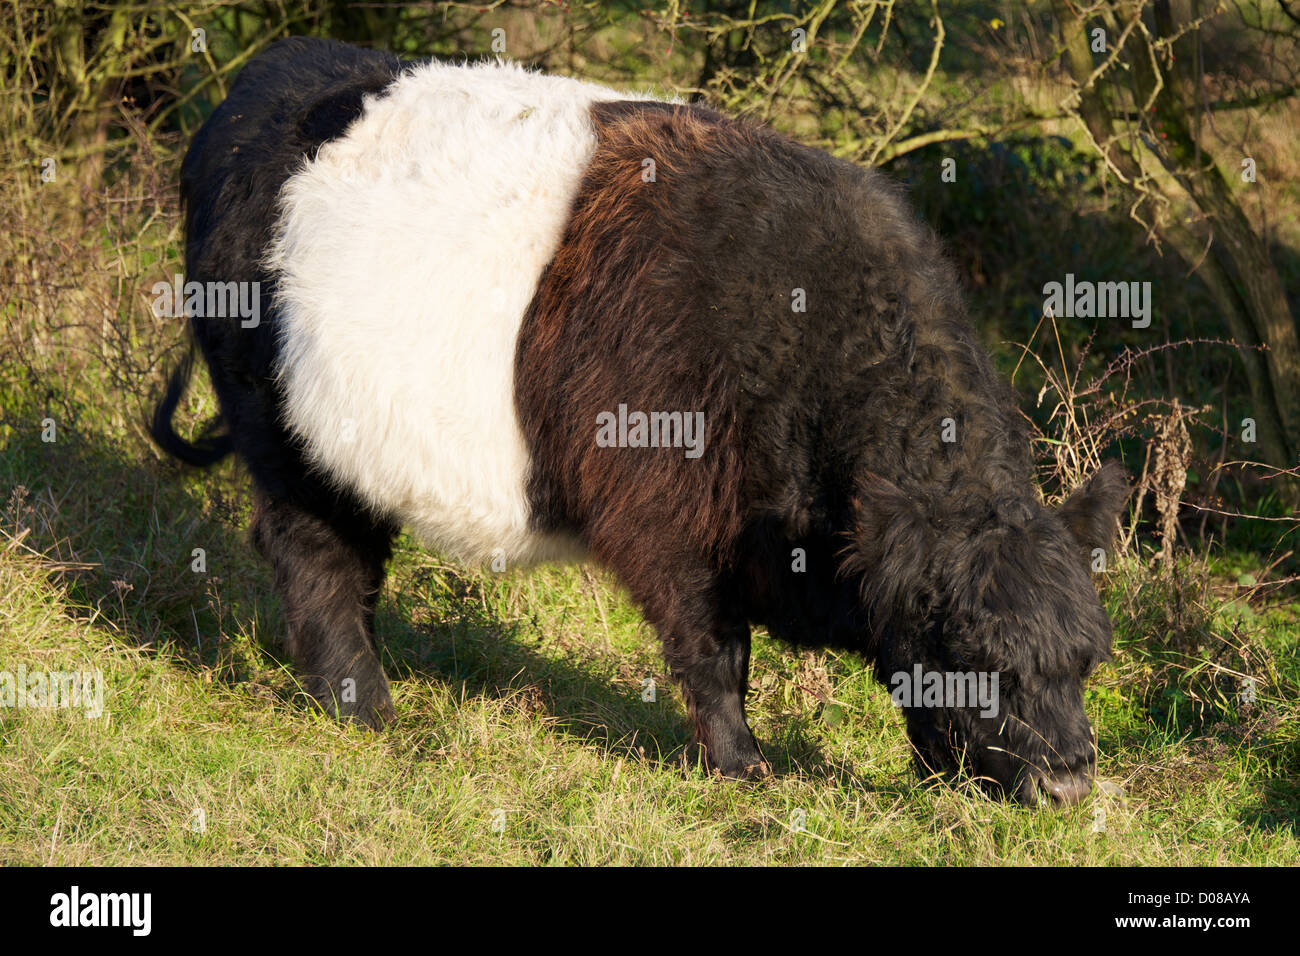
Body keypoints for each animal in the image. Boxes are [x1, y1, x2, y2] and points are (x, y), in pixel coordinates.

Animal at [153, 36, 1128, 806]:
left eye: (1086, 658)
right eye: (983, 658)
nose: (1069, 781)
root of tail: (268, 73)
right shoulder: (672, 522)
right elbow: (715, 654)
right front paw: (743, 767)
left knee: (353, 560)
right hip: (281, 431)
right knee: (312, 558)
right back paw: (367, 708)